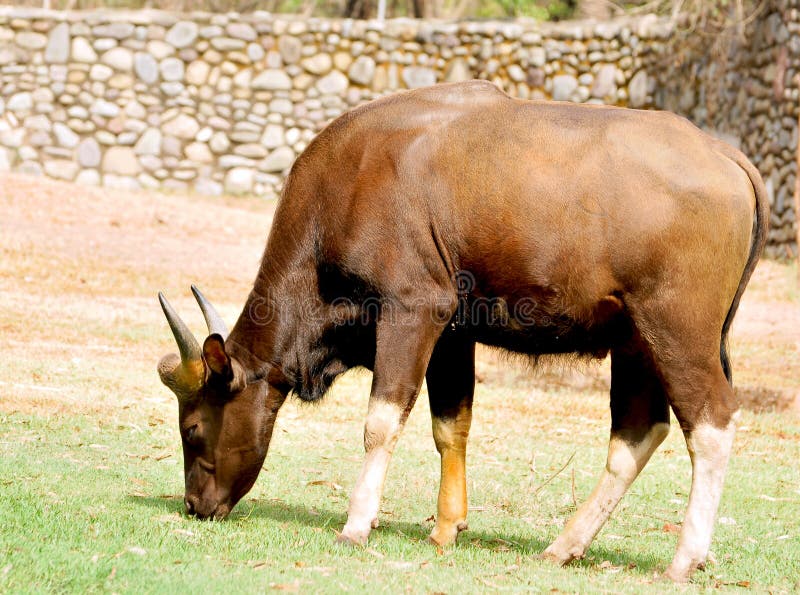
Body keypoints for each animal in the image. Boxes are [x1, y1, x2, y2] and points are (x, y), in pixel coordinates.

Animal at [157, 80, 768, 582]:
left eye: (192, 428)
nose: (194, 505)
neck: (346, 181)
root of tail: (726, 155)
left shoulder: (412, 308)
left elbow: (381, 422)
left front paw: (357, 524)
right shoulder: (453, 332)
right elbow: (450, 426)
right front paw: (447, 527)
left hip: (676, 330)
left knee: (712, 423)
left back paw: (685, 557)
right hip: (636, 339)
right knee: (638, 432)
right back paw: (565, 544)